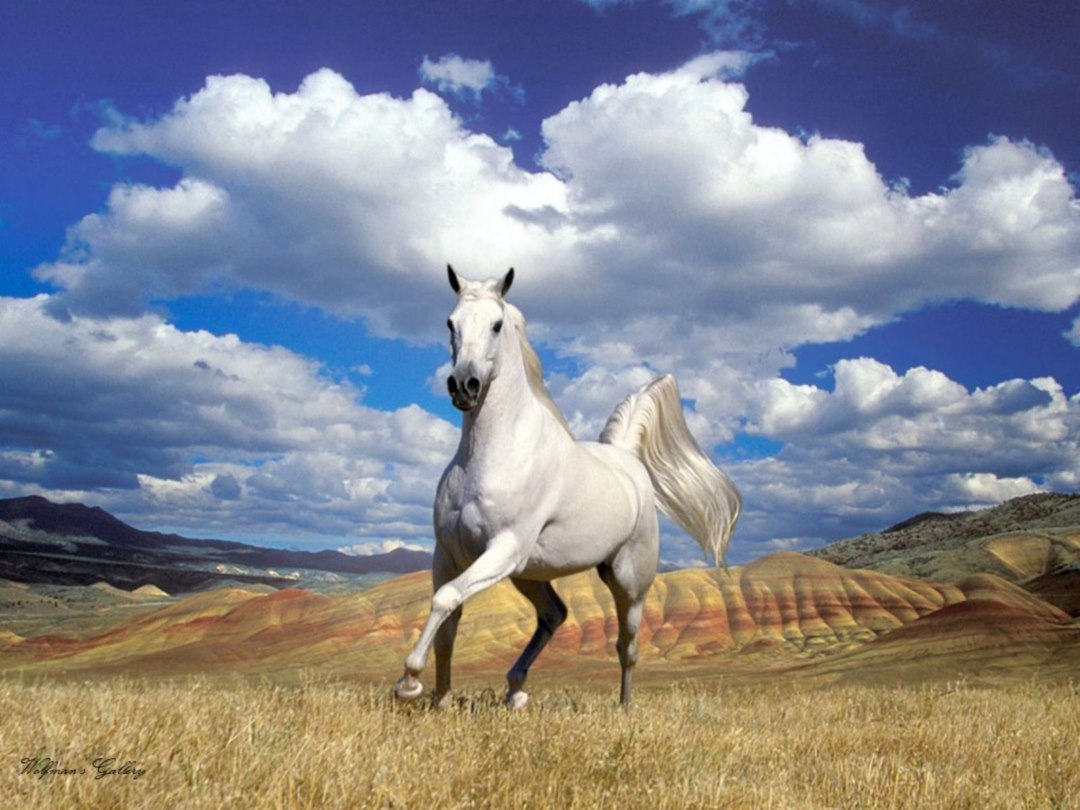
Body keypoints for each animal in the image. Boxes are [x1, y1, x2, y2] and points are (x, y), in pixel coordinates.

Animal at [393, 266, 741, 710]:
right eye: (450, 323)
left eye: (497, 324)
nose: (463, 386)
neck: (489, 456)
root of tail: (626, 459)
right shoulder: (450, 554)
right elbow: (448, 622)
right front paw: (441, 702)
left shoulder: (503, 548)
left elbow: (446, 599)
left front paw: (409, 683)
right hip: (529, 573)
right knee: (554, 614)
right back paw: (516, 690)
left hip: (628, 582)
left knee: (627, 647)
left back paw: (623, 708)